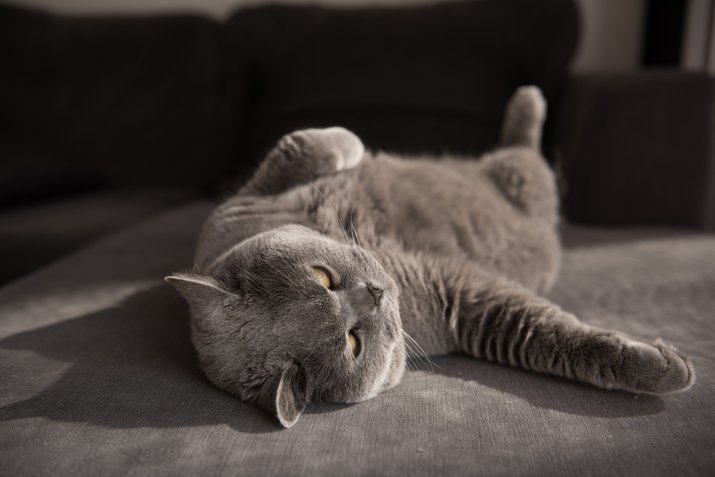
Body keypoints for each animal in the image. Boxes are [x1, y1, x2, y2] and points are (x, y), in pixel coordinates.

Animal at [166, 85, 692, 428]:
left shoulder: (243, 202)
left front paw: (353, 144)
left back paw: (525, 97)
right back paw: (530, 100)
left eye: (322, 276)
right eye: (353, 343)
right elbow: (547, 332)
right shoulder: (463, 300)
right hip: (528, 191)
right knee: (526, 158)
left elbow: (302, 145)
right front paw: (665, 372)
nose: (375, 293)